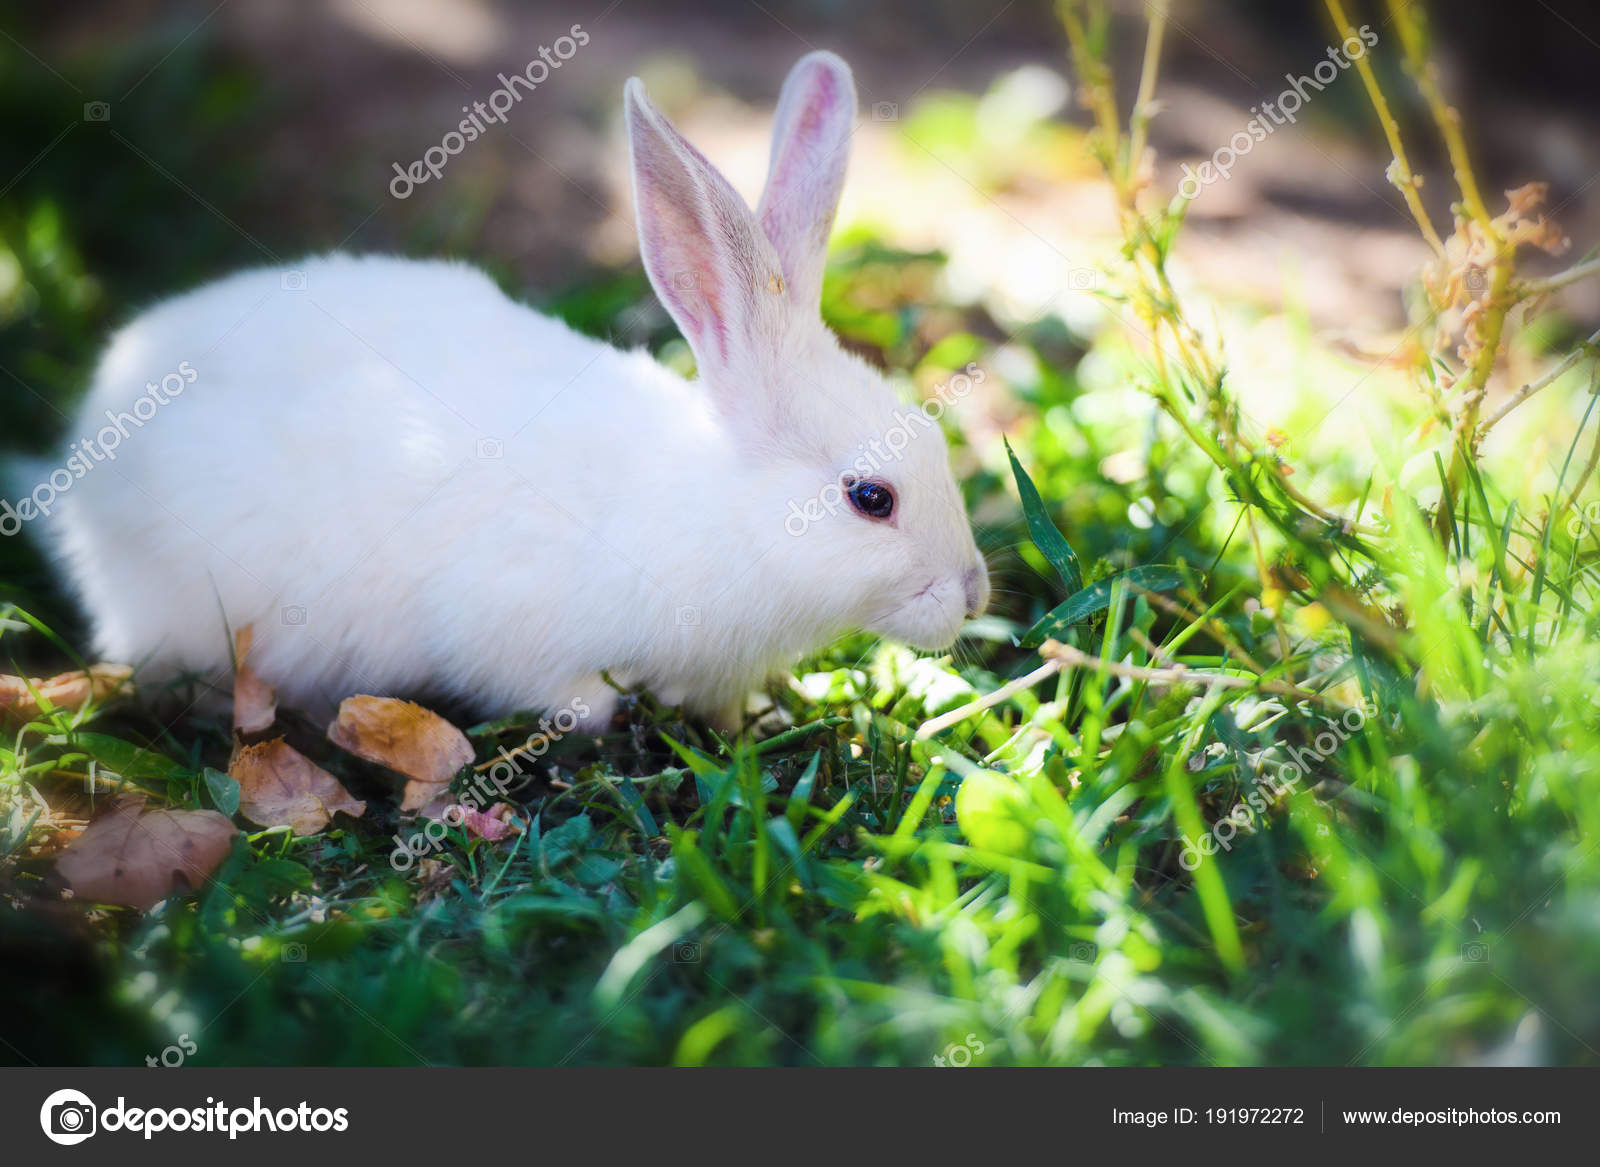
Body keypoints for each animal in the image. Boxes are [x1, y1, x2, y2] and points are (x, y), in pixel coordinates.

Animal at [38, 50, 989, 732]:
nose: (974, 592)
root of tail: (81, 469)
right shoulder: (513, 629)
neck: (718, 513)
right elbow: (564, 692)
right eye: (870, 498)